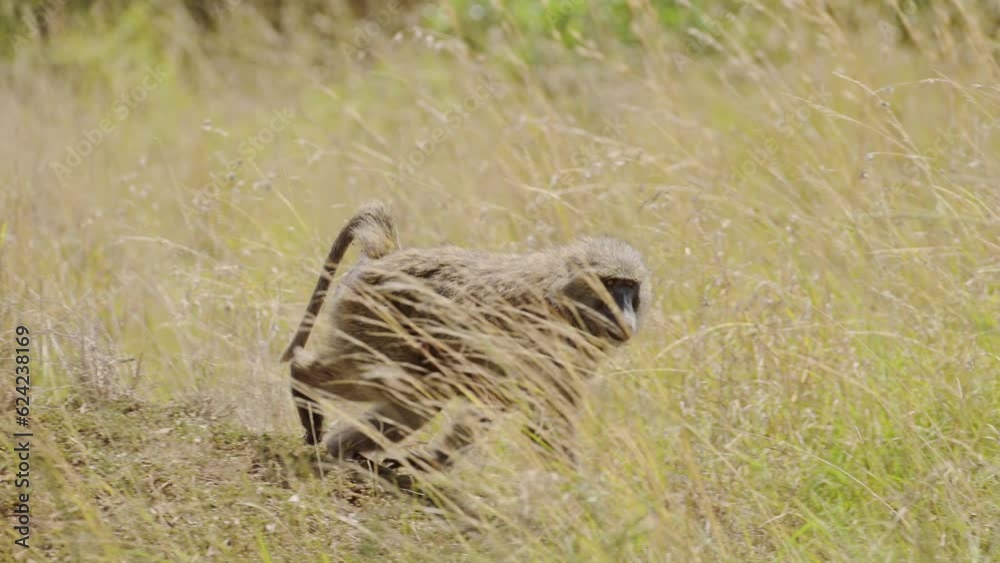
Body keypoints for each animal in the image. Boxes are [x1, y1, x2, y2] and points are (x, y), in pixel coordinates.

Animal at [281, 201, 650, 475]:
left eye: (630, 288)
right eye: (611, 285)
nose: (626, 319)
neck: (562, 297)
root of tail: (386, 257)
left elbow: (544, 418)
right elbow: (493, 402)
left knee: (420, 397)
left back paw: (344, 450)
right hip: (376, 321)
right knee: (401, 383)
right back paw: (304, 383)